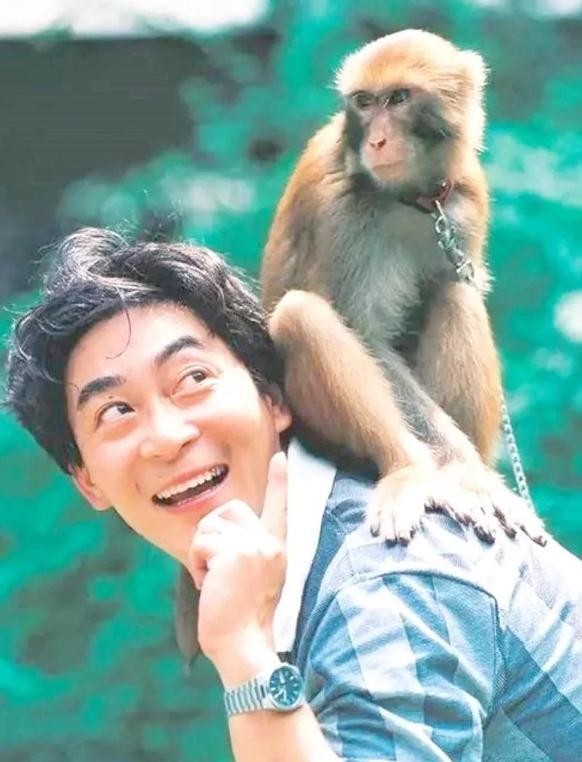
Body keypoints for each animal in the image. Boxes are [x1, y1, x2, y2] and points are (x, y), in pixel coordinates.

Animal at [261, 29, 545, 545]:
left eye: (398, 98)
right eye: (364, 102)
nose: (376, 139)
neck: (407, 199)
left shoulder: (465, 199)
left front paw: (468, 472)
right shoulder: (341, 213)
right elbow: (366, 334)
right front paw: (464, 475)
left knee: (454, 293)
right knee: (300, 314)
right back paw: (413, 471)